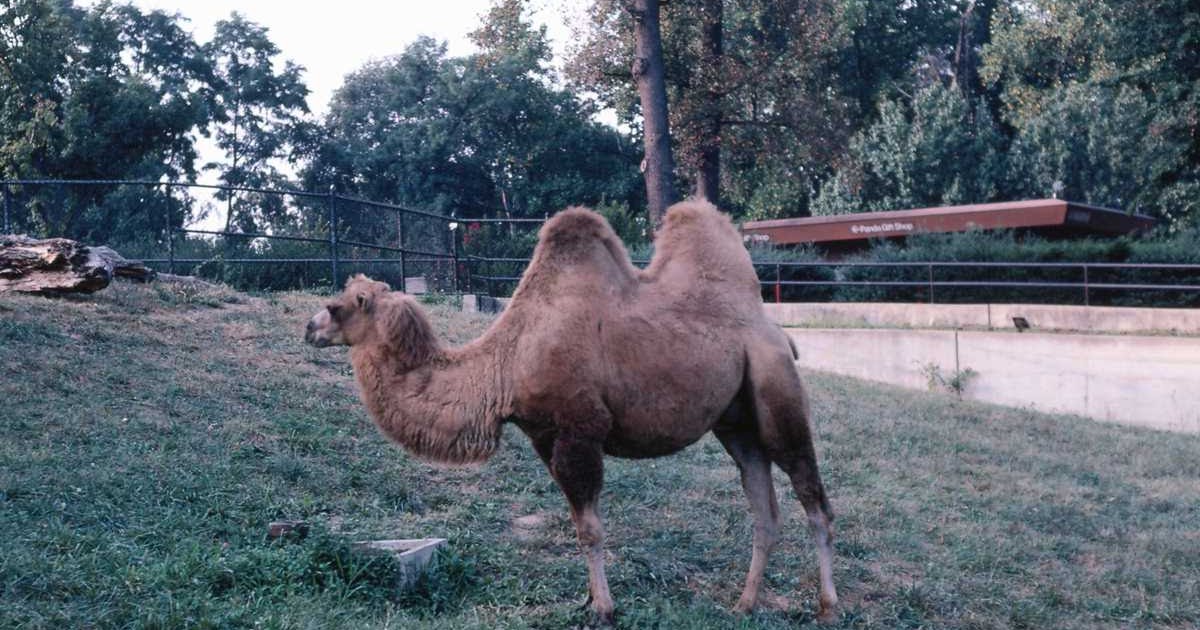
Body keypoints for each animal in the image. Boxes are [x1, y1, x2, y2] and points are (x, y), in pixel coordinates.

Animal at [304, 200, 838, 623]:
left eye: (338, 305)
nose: (309, 329)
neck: (505, 365)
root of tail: (775, 331)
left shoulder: (580, 430)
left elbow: (589, 529)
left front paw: (603, 609)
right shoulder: (544, 435)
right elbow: (579, 523)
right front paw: (592, 601)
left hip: (776, 388)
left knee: (812, 495)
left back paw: (828, 607)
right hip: (736, 421)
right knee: (764, 508)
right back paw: (744, 605)